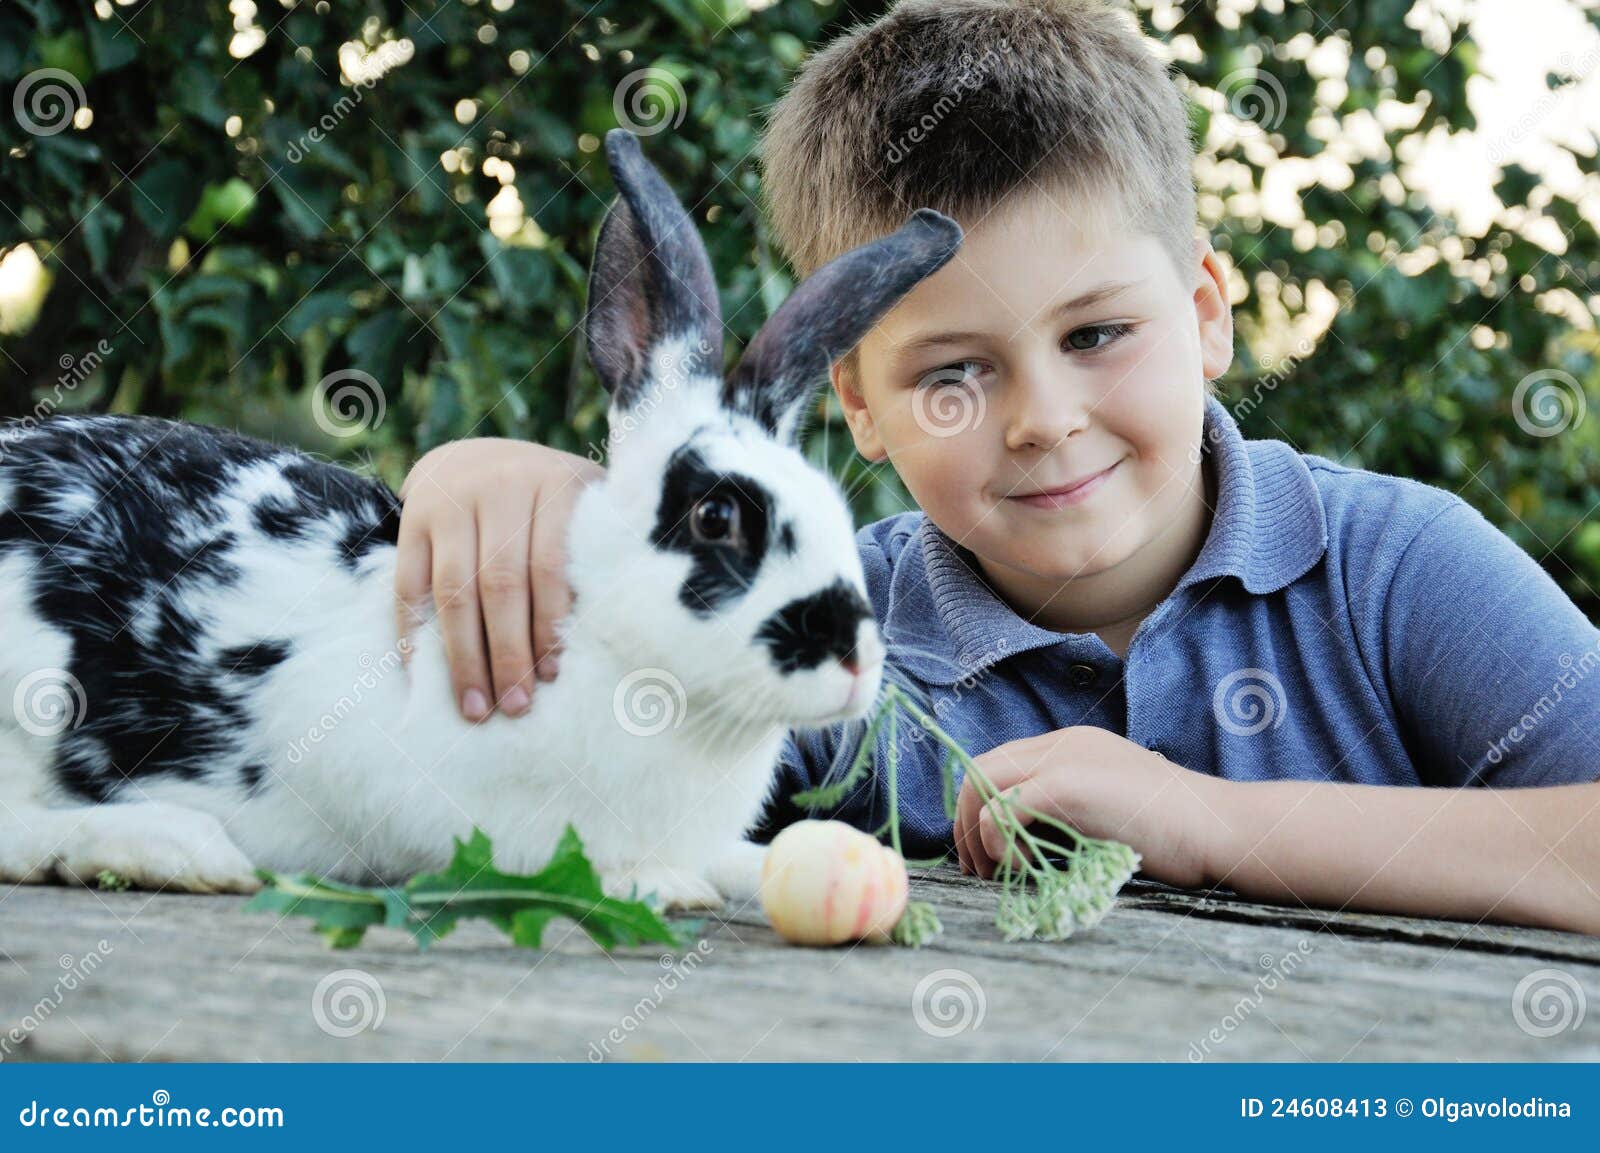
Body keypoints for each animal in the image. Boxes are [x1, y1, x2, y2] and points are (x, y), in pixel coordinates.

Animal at [0, 129, 963, 912]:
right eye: (716, 514)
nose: (852, 658)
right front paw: (652, 883)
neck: (608, 642)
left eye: (835, 508)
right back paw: (173, 848)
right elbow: (544, 855)